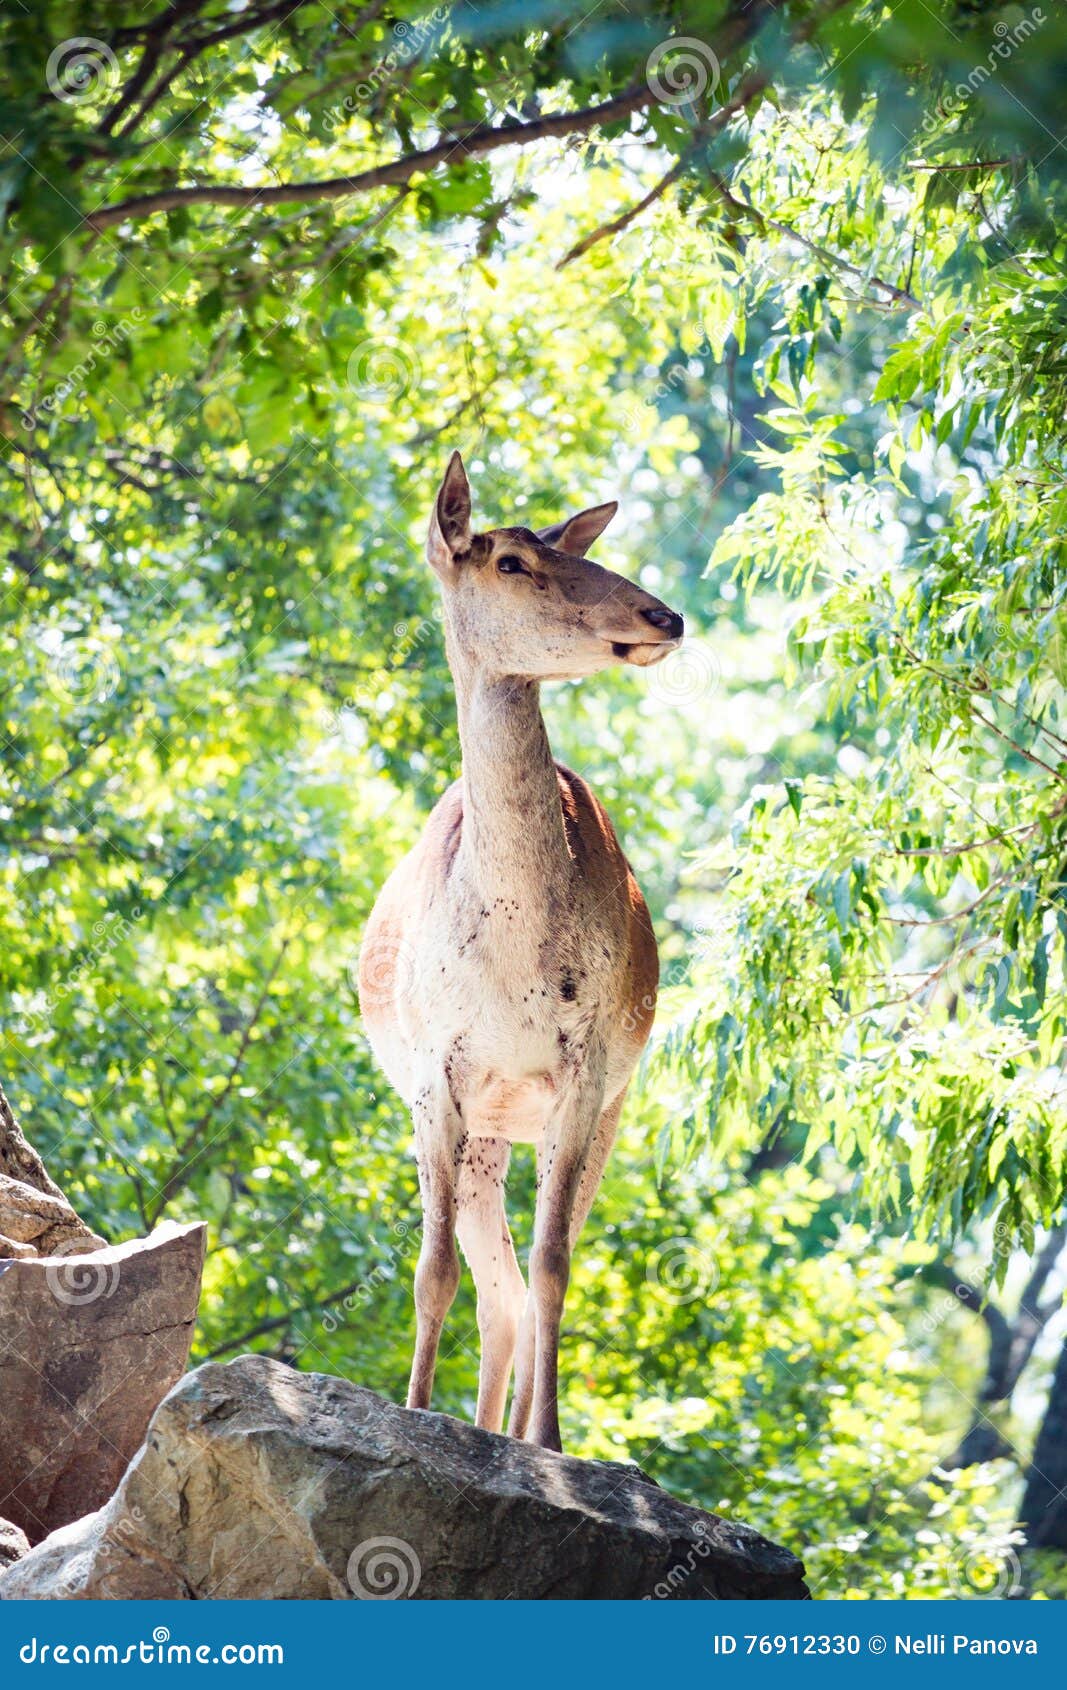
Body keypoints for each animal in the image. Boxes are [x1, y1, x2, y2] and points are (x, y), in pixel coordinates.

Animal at [358, 452, 683, 1451]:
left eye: (567, 547)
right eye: (508, 560)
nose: (664, 615)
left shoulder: (589, 1068)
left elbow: (554, 1264)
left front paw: (549, 1444)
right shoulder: (435, 1071)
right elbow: (431, 1268)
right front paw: (412, 1414)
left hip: (586, 1116)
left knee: (518, 1281)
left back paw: (508, 1430)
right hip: (480, 1129)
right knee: (487, 1284)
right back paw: (475, 1423)